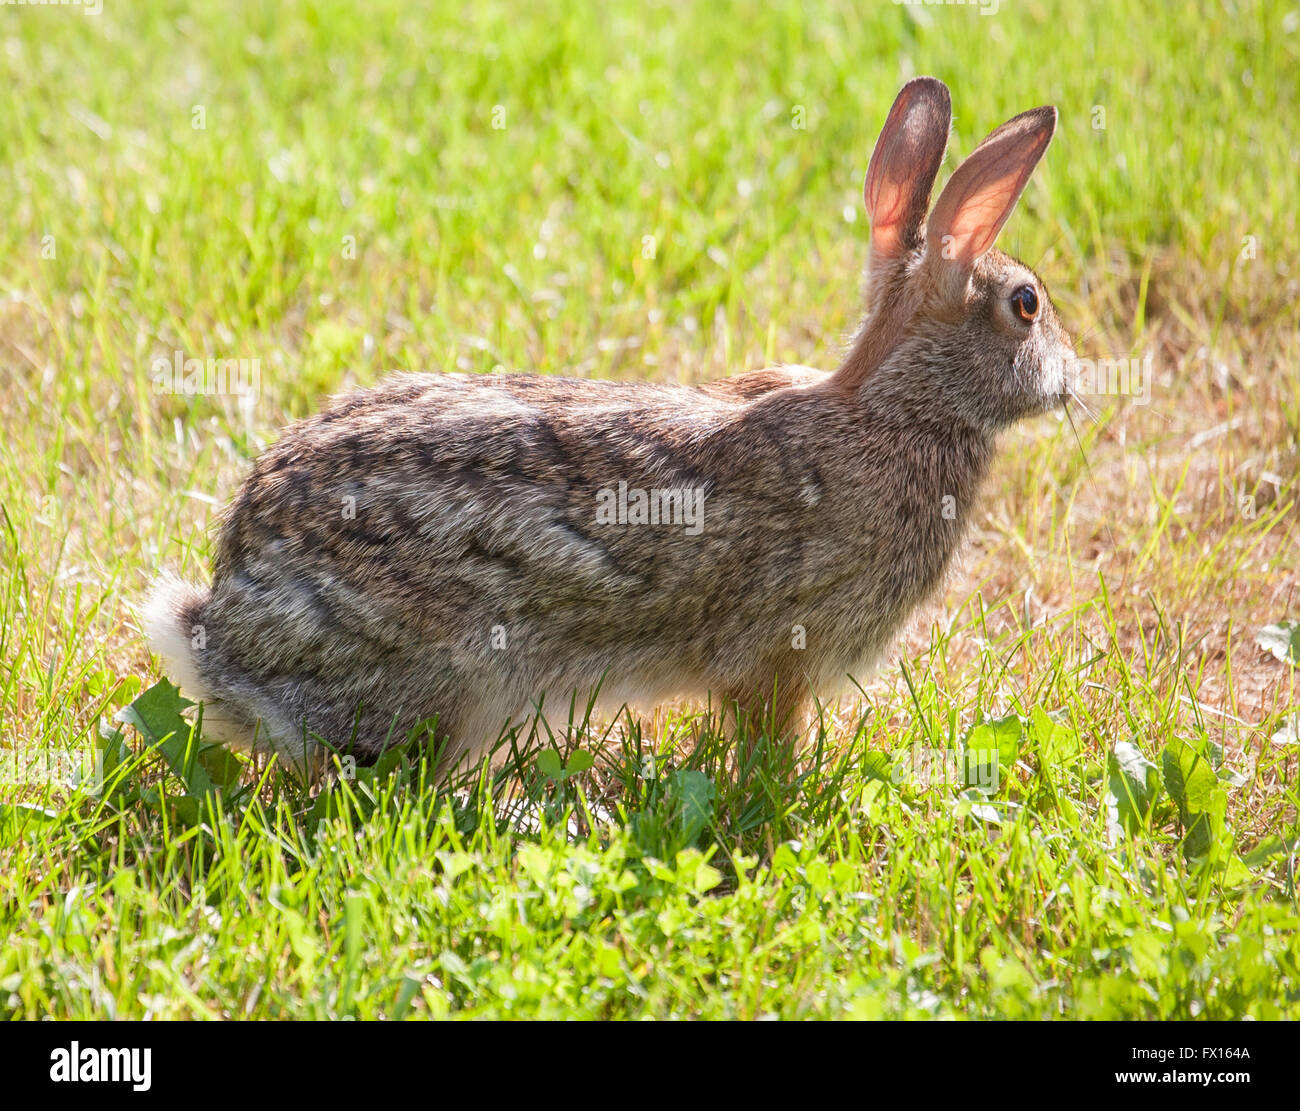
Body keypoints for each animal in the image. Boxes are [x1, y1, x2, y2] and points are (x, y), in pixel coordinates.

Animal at [144, 77, 1077, 774]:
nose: (1074, 379)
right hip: (445, 679)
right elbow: (768, 736)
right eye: (1027, 305)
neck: (895, 405)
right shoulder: (778, 656)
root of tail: (219, 632)